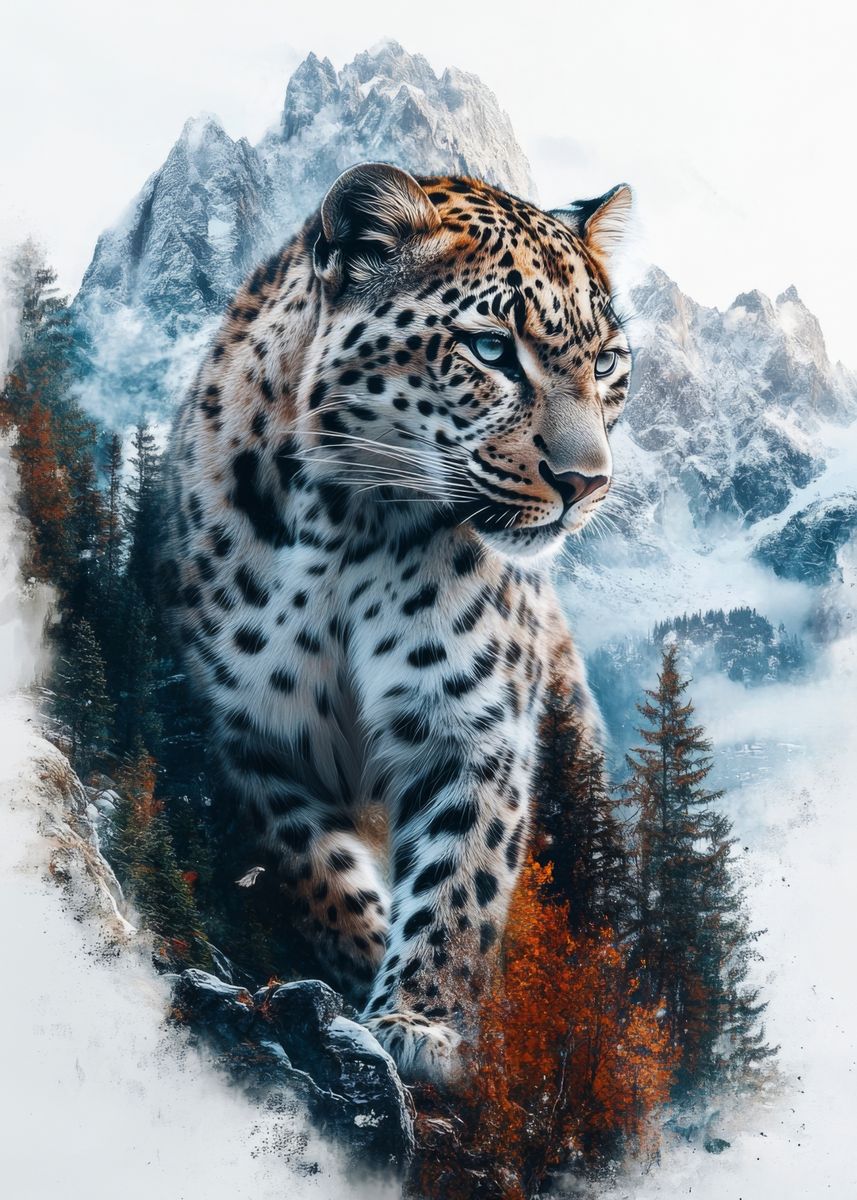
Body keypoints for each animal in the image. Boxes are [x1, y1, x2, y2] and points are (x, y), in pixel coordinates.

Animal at [162, 163, 633, 1087]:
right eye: (491, 351)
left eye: (607, 363)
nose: (586, 483)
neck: (349, 524)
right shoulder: (248, 734)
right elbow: (310, 862)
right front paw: (363, 959)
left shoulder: (472, 727)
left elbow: (461, 881)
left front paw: (423, 1023)